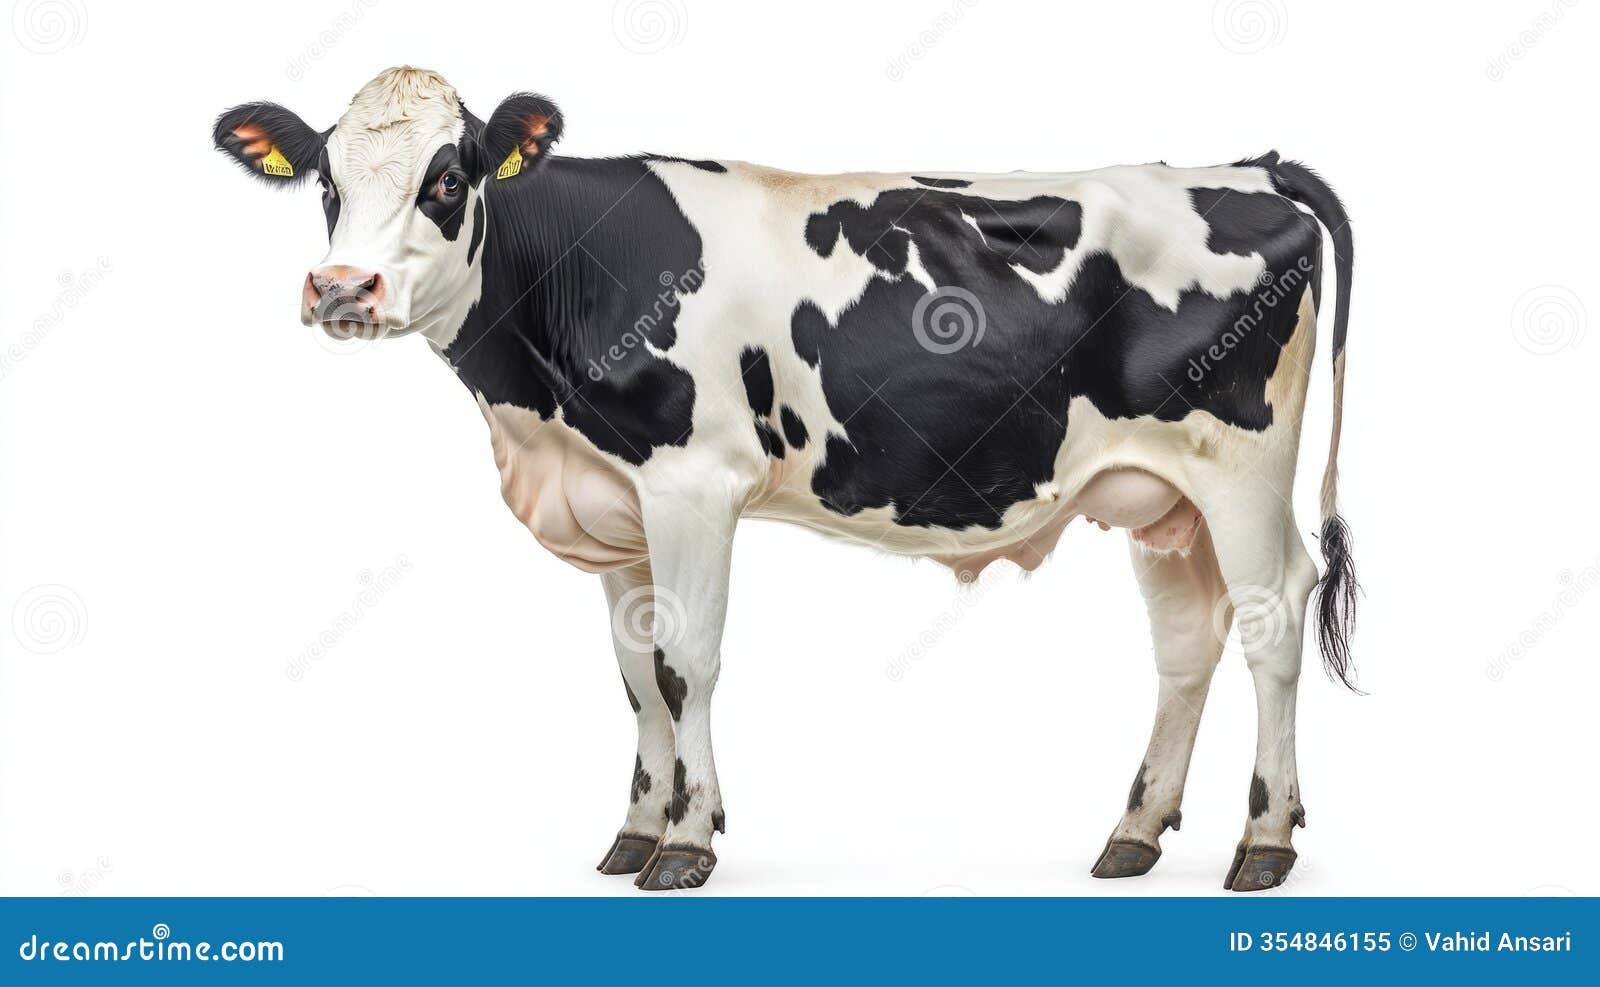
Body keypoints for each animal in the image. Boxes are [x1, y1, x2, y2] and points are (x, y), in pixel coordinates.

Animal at [213, 67, 1356, 892]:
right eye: (327, 181)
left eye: (447, 180)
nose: (341, 288)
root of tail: (1250, 166)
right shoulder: (617, 503)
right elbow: (634, 676)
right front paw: (636, 830)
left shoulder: (692, 485)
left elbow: (685, 665)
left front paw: (686, 842)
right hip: (1163, 496)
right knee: (1188, 640)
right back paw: (1135, 831)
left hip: (1242, 468)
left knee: (1272, 617)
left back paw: (1264, 842)